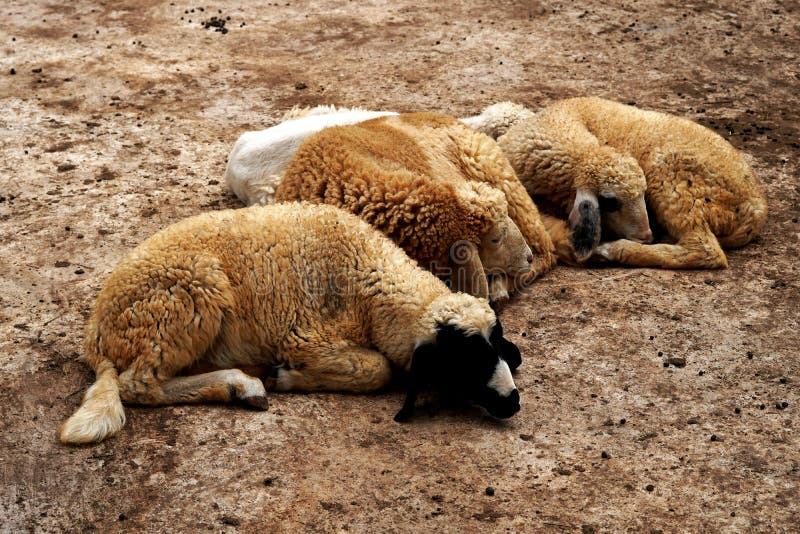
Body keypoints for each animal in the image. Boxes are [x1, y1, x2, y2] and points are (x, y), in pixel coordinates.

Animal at [58, 202, 522, 445]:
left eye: (496, 347)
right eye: (462, 360)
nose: (512, 402)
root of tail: (96, 335)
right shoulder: (307, 337)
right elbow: (378, 370)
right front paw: (287, 377)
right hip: (187, 297)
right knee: (138, 385)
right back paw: (244, 385)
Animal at [465, 97, 768, 268]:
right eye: (610, 202)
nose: (647, 236)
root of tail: (756, 210)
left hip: (675, 182)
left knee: (706, 251)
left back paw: (615, 250)